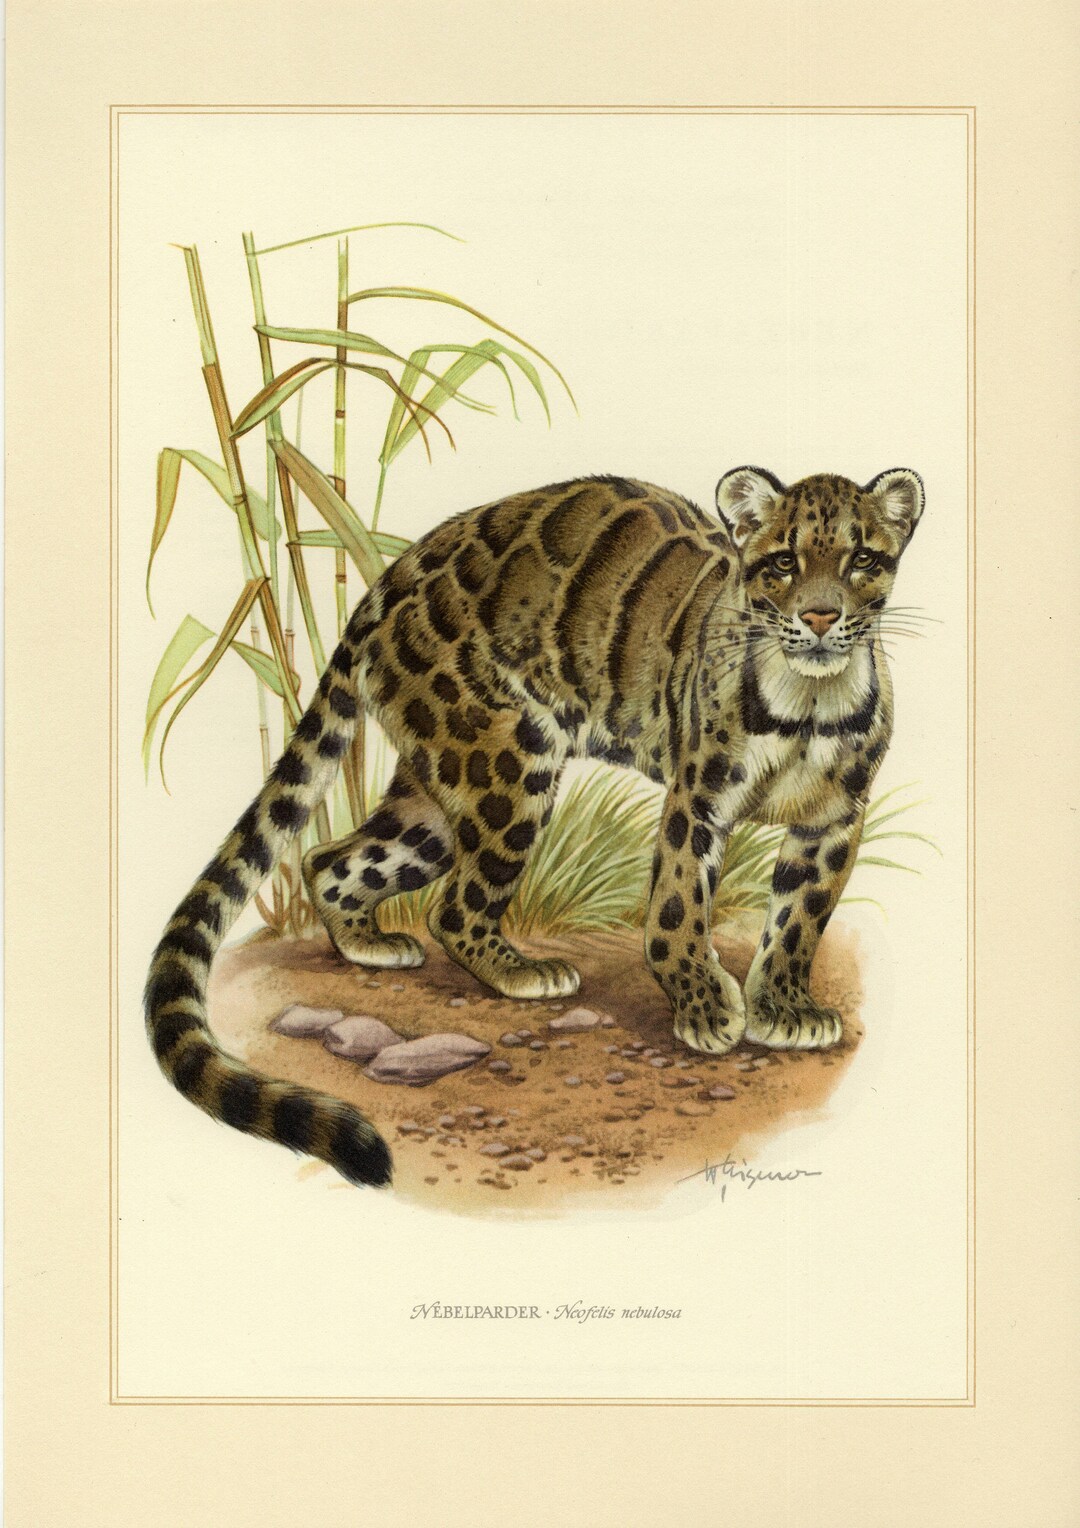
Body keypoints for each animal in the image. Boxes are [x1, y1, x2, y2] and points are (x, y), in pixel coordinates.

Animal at [145, 465, 925, 1188]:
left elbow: (799, 921)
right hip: (507, 764)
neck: (811, 701)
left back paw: (369, 943)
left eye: (861, 559)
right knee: (454, 905)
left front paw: (786, 1007)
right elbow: (677, 911)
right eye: (784, 562)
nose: (820, 618)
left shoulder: (833, 820)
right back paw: (524, 972)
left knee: (331, 861)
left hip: (437, 799)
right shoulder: (696, 801)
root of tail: (391, 578)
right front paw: (706, 1010)